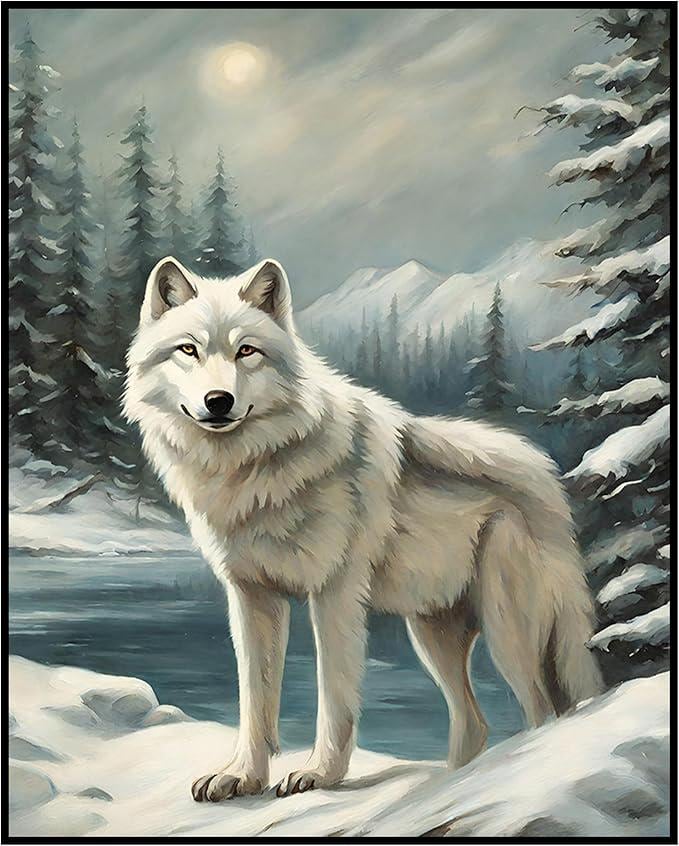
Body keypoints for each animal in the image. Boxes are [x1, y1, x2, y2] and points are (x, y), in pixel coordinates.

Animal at [124, 255, 602, 802]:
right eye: (189, 349)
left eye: (247, 351)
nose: (218, 400)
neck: (255, 469)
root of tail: (550, 487)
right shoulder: (251, 595)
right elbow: (254, 698)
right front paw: (242, 777)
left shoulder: (333, 594)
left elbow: (334, 694)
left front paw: (319, 774)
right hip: (433, 636)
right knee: (475, 723)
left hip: (508, 634)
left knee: (543, 712)